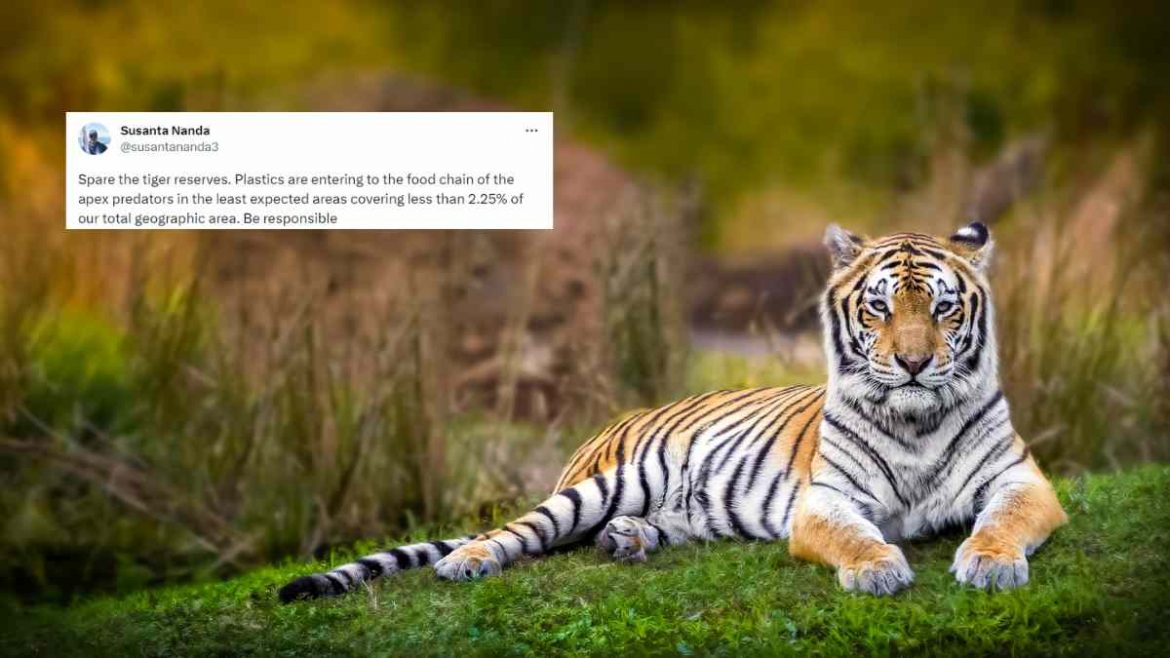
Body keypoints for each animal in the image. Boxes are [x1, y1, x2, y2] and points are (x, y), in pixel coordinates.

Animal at [279, 222, 1067, 601]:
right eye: (878, 308)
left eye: (941, 308)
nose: (912, 363)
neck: (915, 420)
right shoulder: (828, 500)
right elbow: (852, 536)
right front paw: (877, 569)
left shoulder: (1024, 480)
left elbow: (1003, 521)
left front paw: (990, 564)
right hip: (604, 484)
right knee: (519, 531)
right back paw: (468, 561)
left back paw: (628, 541)